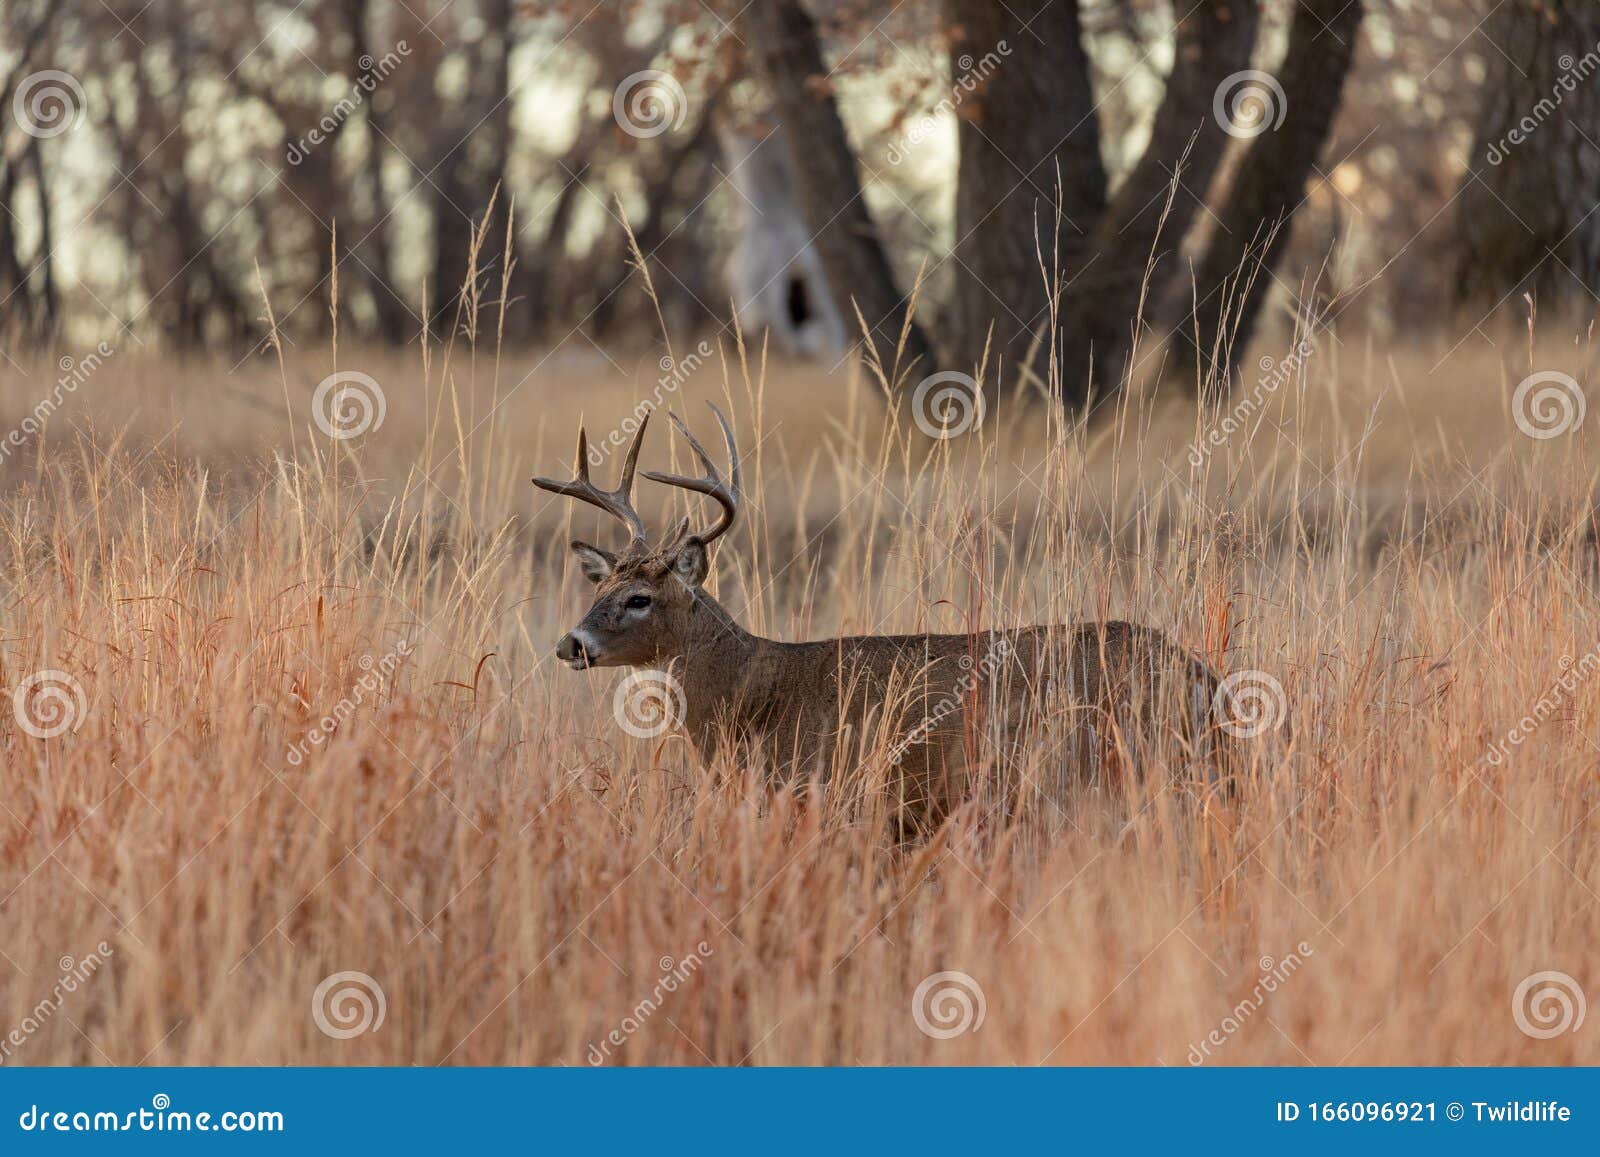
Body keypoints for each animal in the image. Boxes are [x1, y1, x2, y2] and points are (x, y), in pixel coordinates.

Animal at [535, 404, 1233, 833]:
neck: (754, 692)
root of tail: (1203, 678)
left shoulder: (827, 790)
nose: (571, 643)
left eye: (639, 599)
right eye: (604, 586)